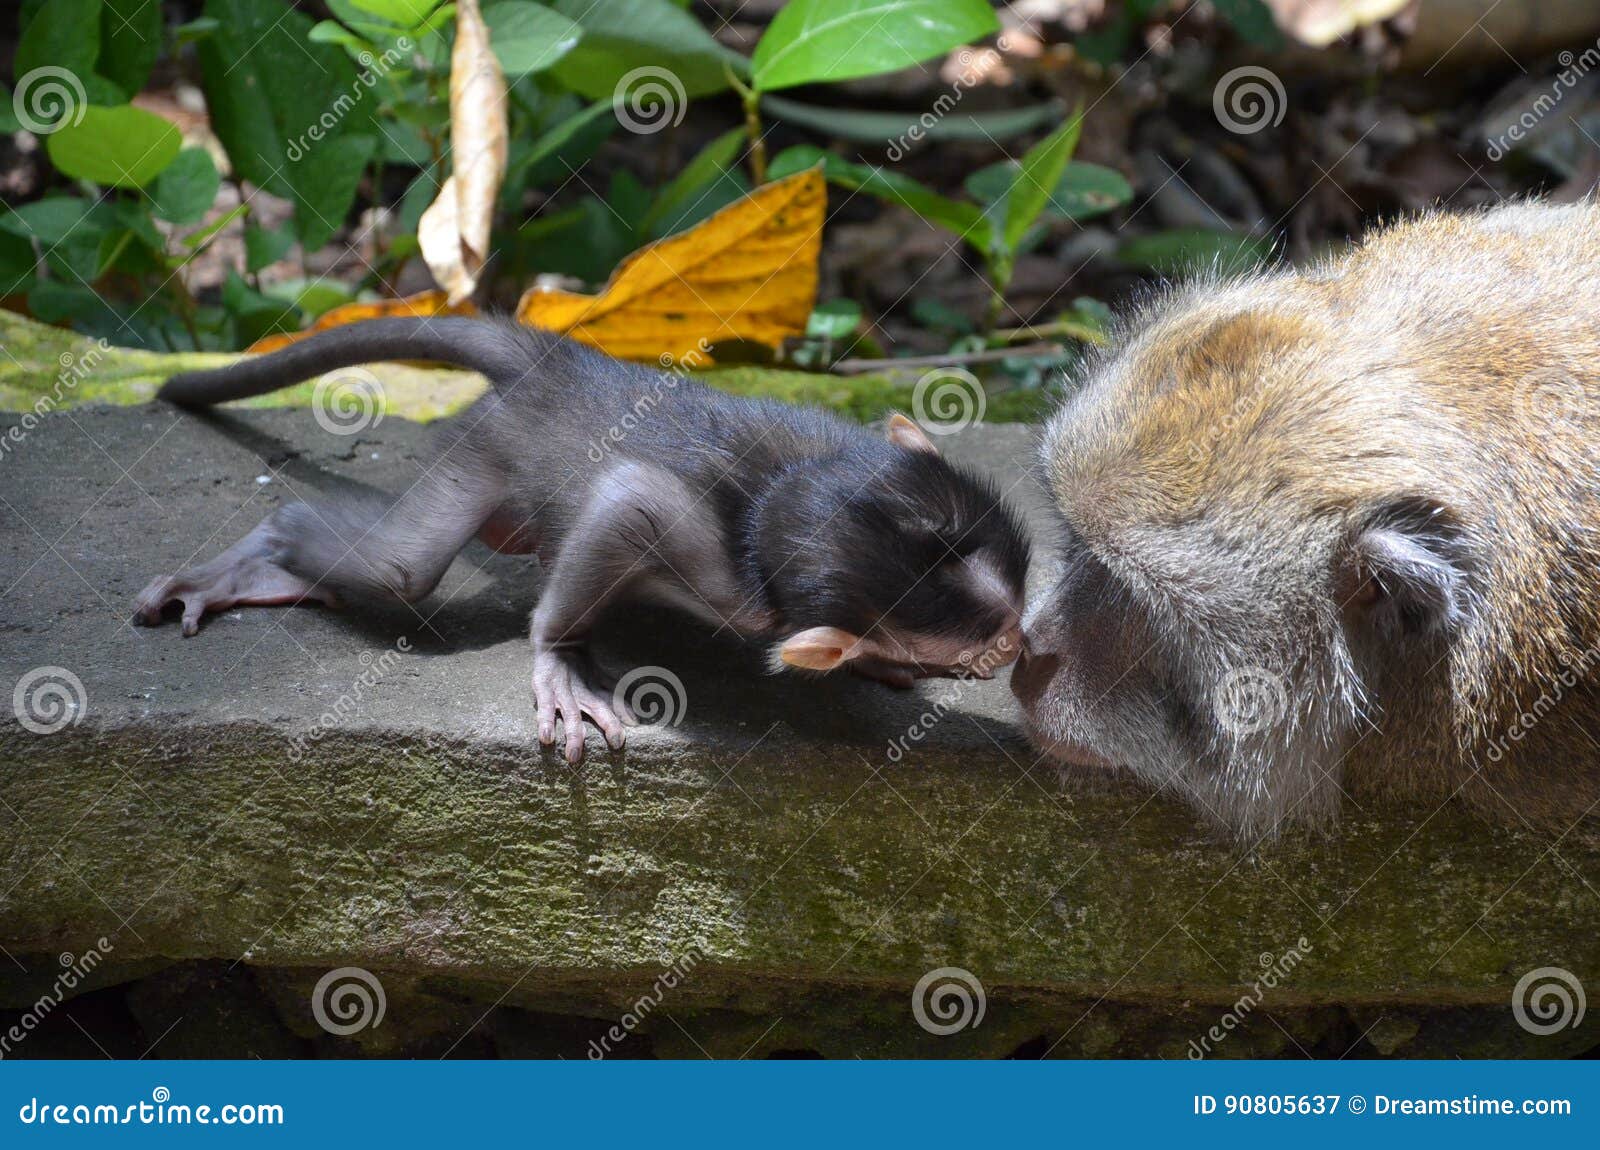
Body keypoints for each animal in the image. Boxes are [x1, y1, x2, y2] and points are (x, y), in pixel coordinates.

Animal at [134, 317, 1030, 763]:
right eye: (974, 657)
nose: (1024, 645)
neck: (782, 497)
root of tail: (556, 360)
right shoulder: (723, 576)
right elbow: (627, 505)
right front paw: (561, 659)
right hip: (486, 444)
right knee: (404, 567)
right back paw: (264, 552)